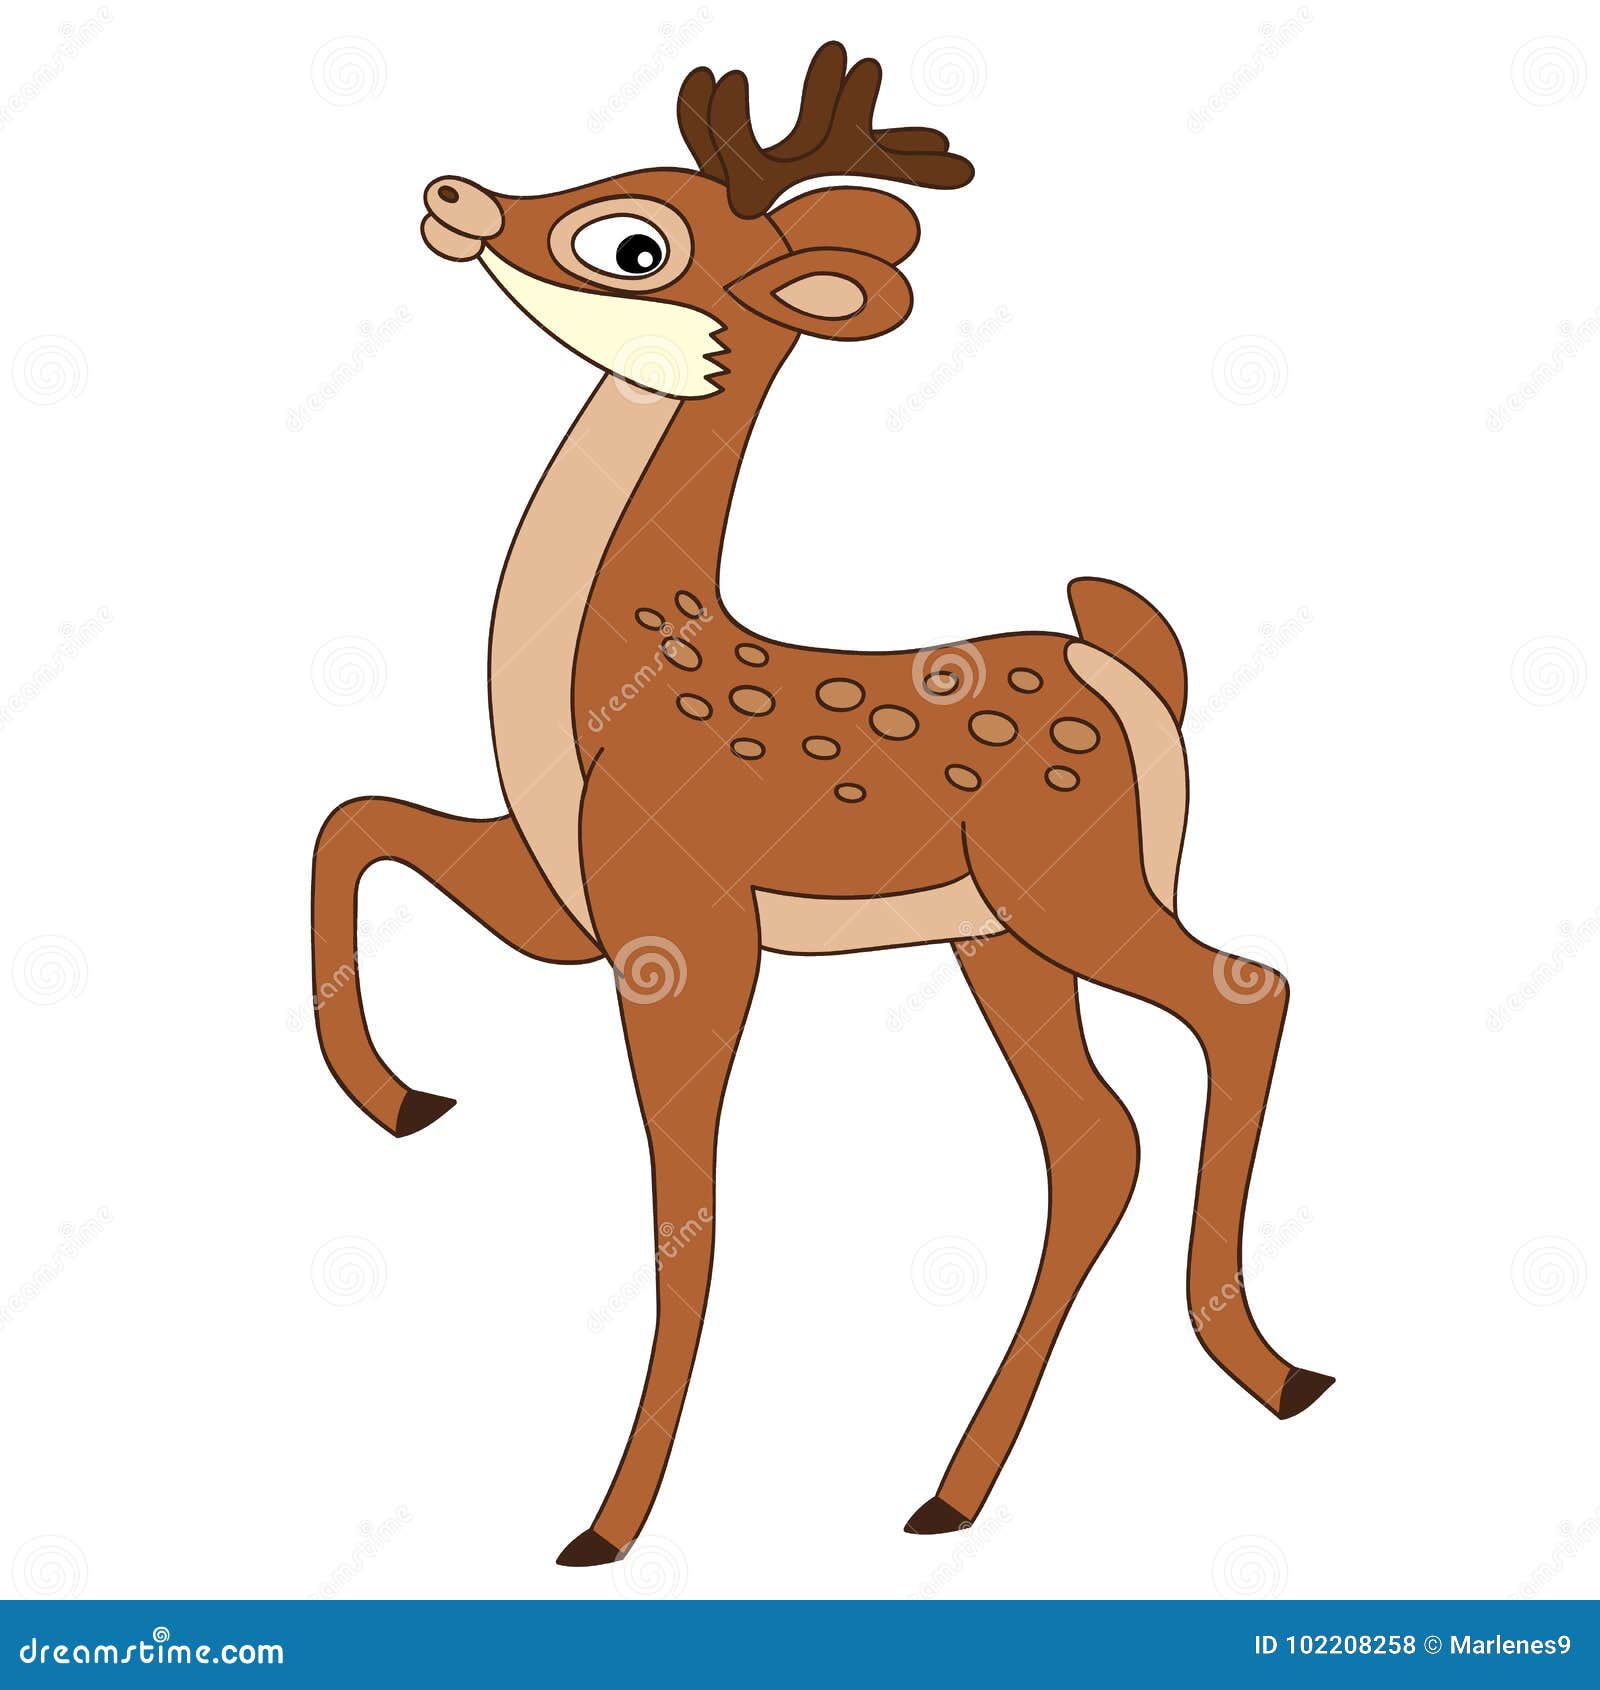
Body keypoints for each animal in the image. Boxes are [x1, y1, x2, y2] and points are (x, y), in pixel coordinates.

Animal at [310, 42, 1334, 1566]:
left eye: (635, 240)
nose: (453, 194)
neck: (606, 688)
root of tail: (1129, 664)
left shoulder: (680, 922)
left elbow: (689, 1213)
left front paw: (608, 1524)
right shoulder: (567, 902)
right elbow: (356, 821)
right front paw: (399, 1100)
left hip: (1068, 885)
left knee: (1245, 992)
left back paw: (1267, 1367)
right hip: (996, 935)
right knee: (1096, 1136)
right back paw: (956, 1489)